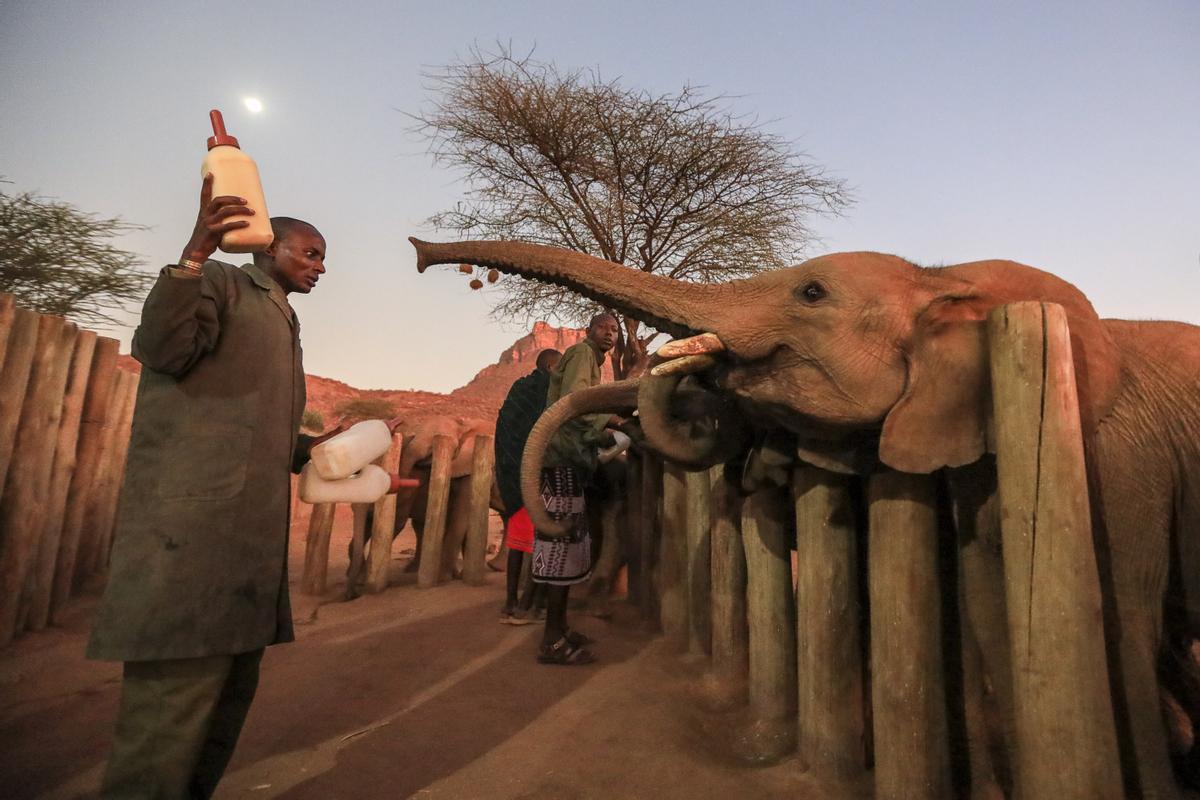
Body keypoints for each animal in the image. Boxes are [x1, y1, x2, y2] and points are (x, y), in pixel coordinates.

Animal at [409, 236, 1200, 799]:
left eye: (811, 292)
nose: (418, 253)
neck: (940, 278)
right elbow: (986, 606)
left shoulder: (1110, 452)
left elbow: (1117, 623)